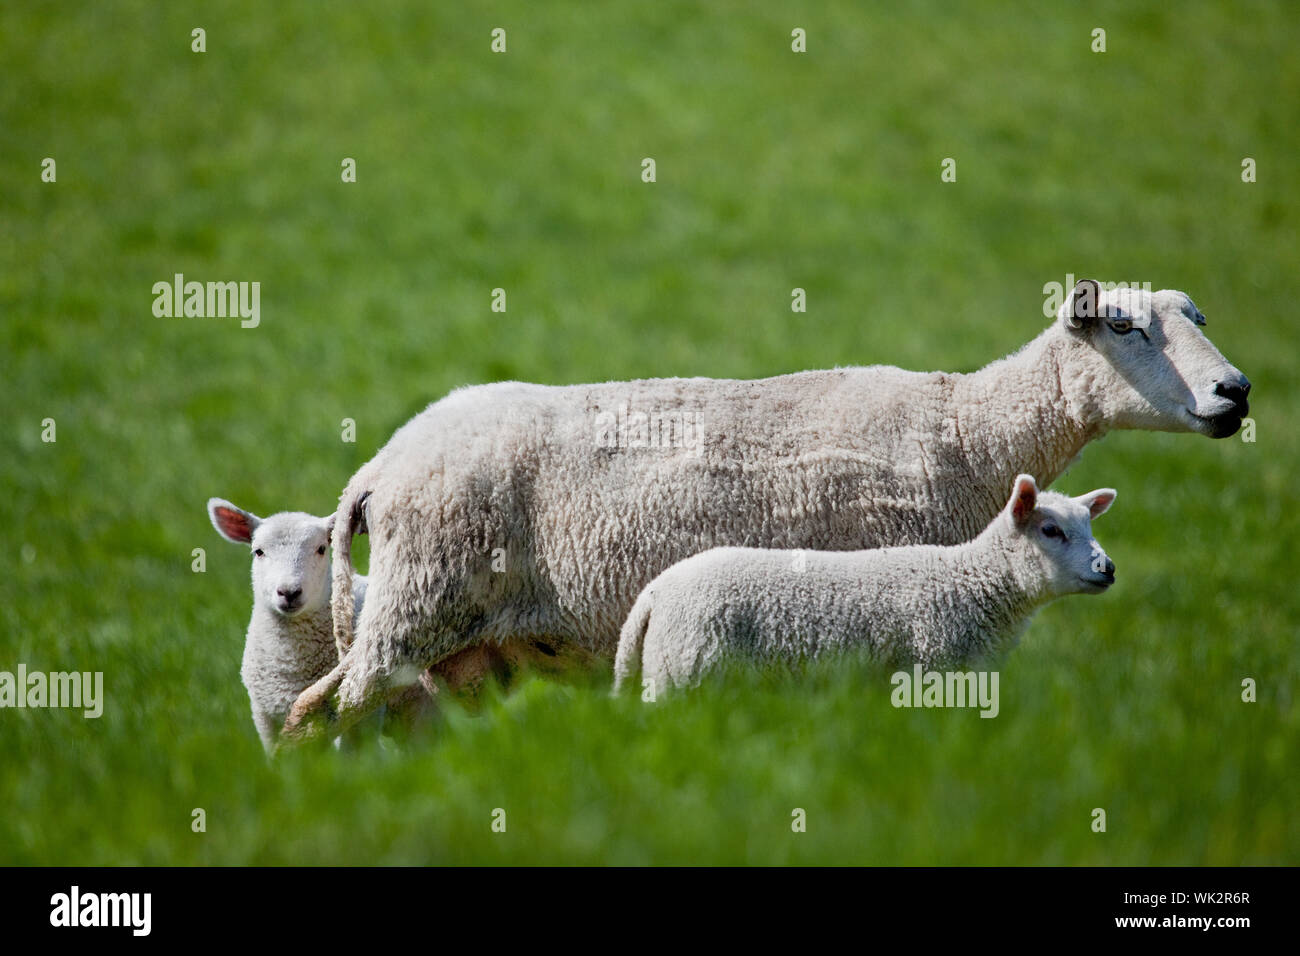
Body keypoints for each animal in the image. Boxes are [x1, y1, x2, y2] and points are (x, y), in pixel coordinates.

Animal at [613, 474, 1116, 692]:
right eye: (1050, 530)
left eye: (1088, 525)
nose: (1108, 568)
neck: (970, 579)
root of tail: (653, 594)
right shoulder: (933, 664)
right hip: (685, 669)